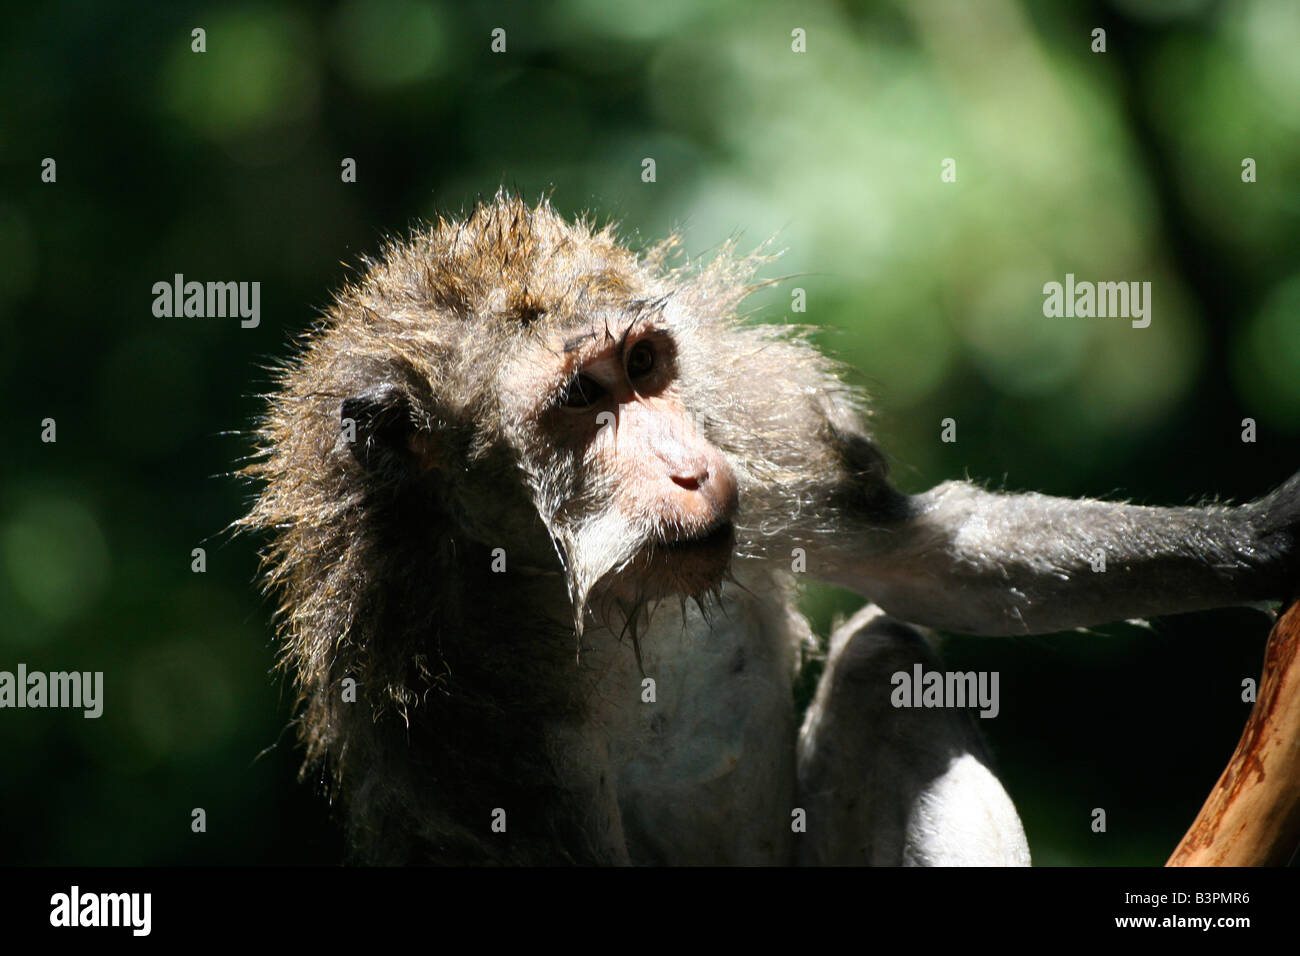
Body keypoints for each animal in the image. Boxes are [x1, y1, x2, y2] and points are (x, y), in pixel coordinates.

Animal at [239, 191, 1300, 865]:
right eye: (580, 399)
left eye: (644, 365)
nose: (689, 466)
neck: (580, 577)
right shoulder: (447, 706)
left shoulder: (757, 425)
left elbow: (927, 559)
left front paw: (1266, 541)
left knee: (887, 662)